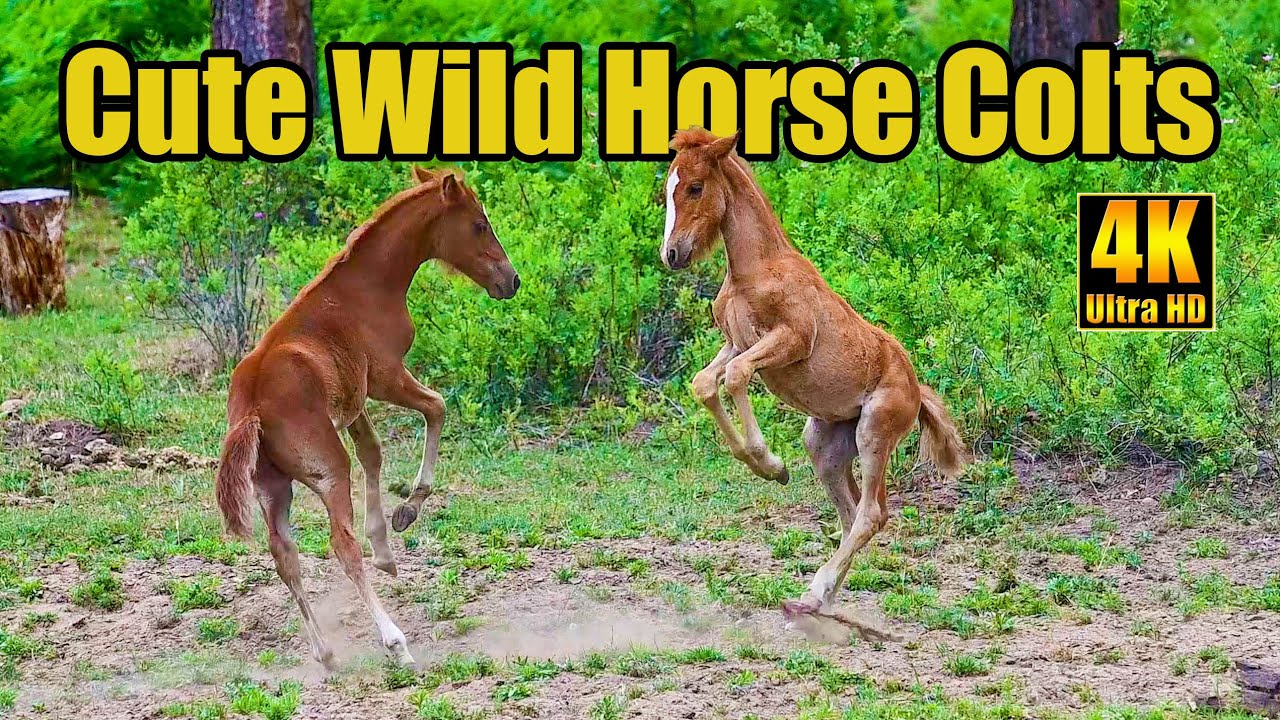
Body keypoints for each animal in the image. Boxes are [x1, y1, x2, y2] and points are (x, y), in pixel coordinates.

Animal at [214, 167, 519, 668]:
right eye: (479, 224)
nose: (511, 281)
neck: (364, 285)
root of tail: (252, 411)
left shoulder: (352, 400)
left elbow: (373, 453)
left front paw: (387, 549)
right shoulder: (385, 377)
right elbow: (437, 407)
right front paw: (408, 509)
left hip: (272, 487)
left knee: (285, 556)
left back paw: (325, 654)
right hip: (328, 472)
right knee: (340, 546)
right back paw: (395, 641)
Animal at [660, 127, 967, 626]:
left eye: (695, 187)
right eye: (668, 187)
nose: (672, 254)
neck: (754, 270)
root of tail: (917, 393)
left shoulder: (789, 341)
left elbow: (736, 377)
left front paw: (769, 463)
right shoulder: (736, 342)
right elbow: (705, 384)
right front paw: (771, 468)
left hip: (873, 432)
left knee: (872, 514)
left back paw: (817, 589)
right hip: (823, 444)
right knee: (852, 514)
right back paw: (819, 600)